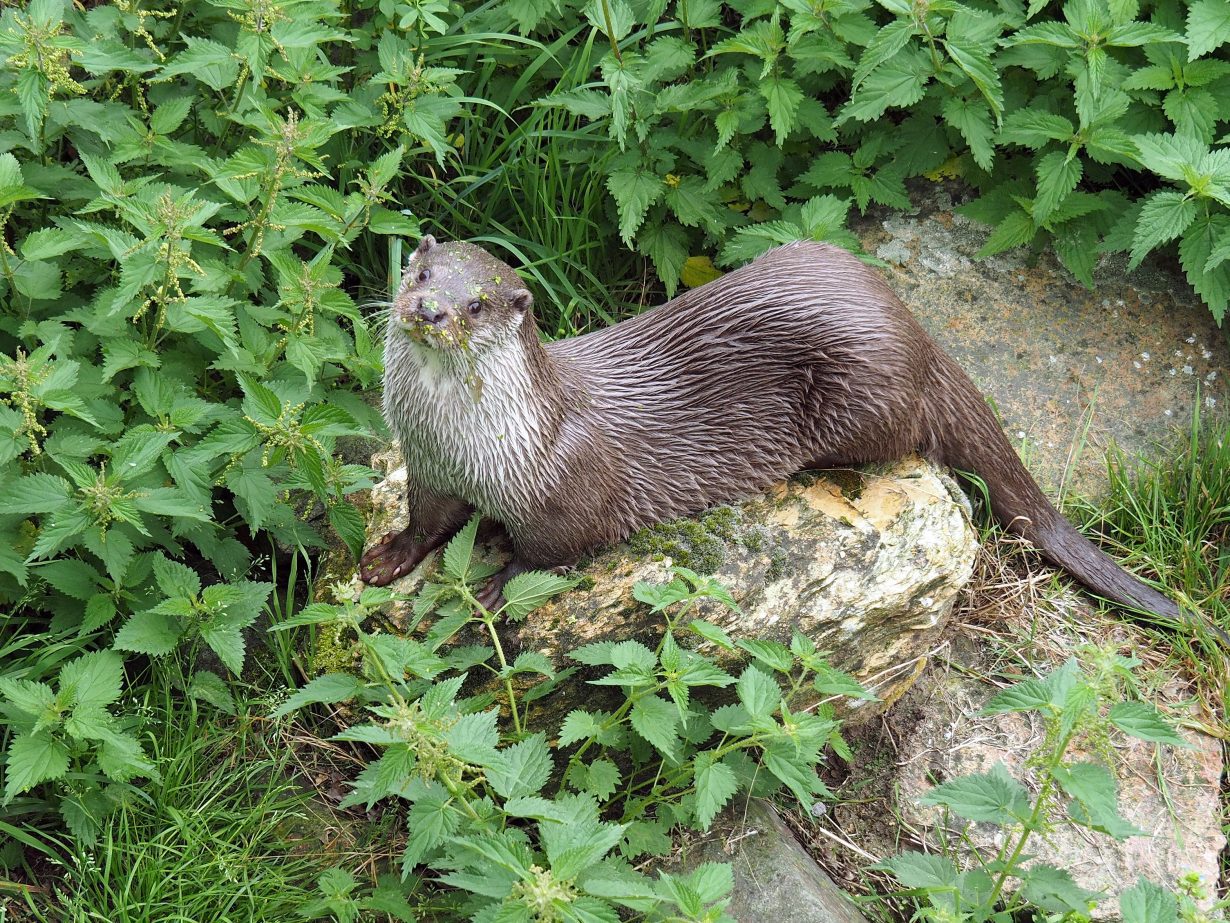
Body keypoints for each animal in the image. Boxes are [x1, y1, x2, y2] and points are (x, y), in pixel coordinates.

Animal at [360, 234, 1193, 631]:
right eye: (422, 276)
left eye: (477, 304)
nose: (430, 310)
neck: (474, 443)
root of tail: (916, 331)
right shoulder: (429, 467)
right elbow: (426, 521)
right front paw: (387, 557)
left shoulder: (567, 487)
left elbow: (554, 551)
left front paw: (497, 585)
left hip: (867, 391)